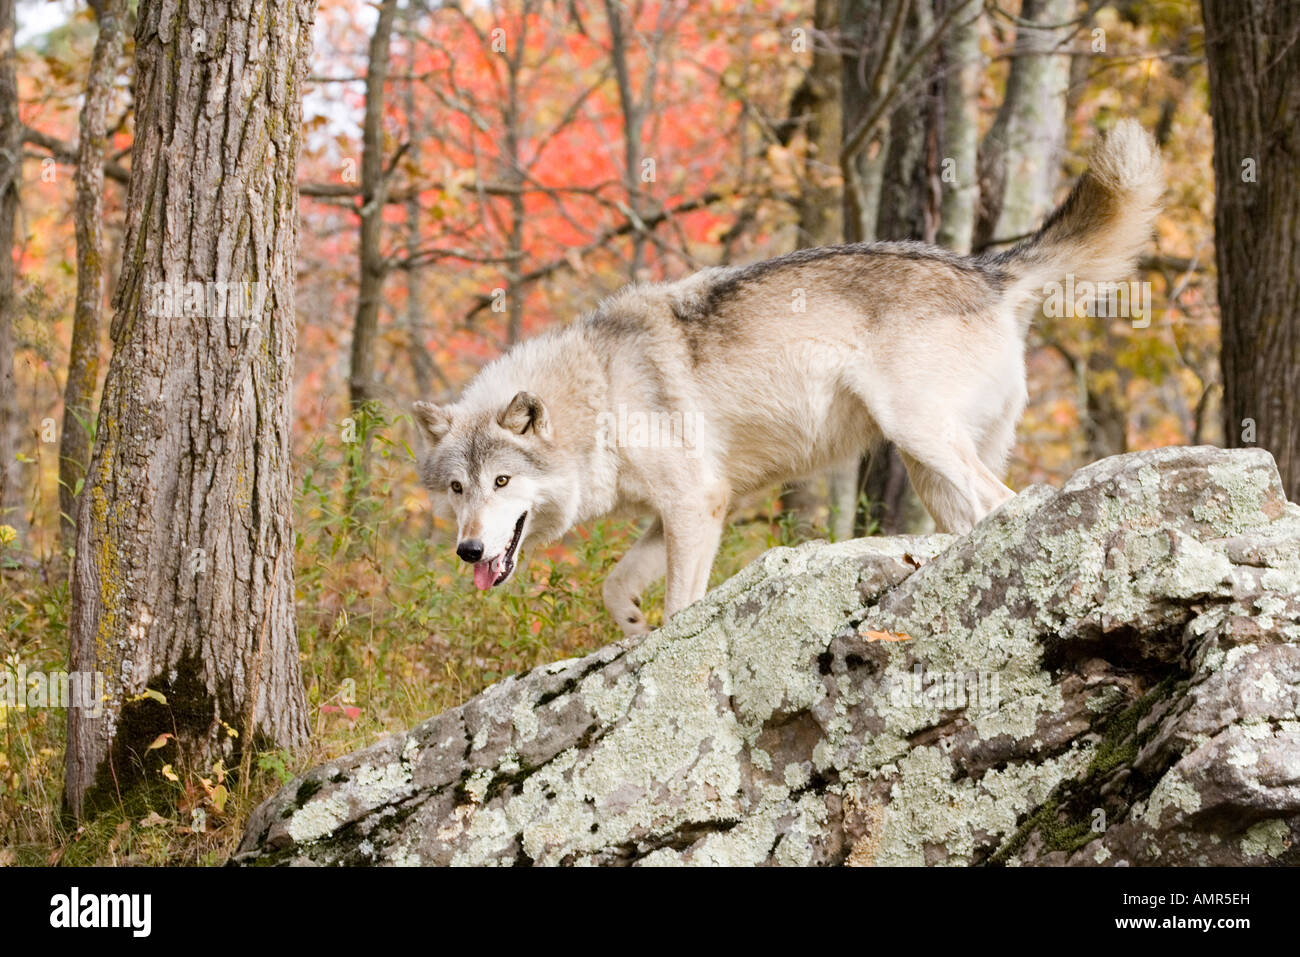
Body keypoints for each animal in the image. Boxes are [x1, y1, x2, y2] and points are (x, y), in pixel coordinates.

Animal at [414, 120, 1163, 635]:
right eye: (457, 489)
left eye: (501, 482)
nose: (467, 550)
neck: (599, 390)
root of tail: (987, 270)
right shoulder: (684, 510)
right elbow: (614, 584)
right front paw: (630, 628)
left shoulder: (696, 504)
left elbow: (682, 607)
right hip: (929, 470)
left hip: (919, 436)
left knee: (1006, 501)